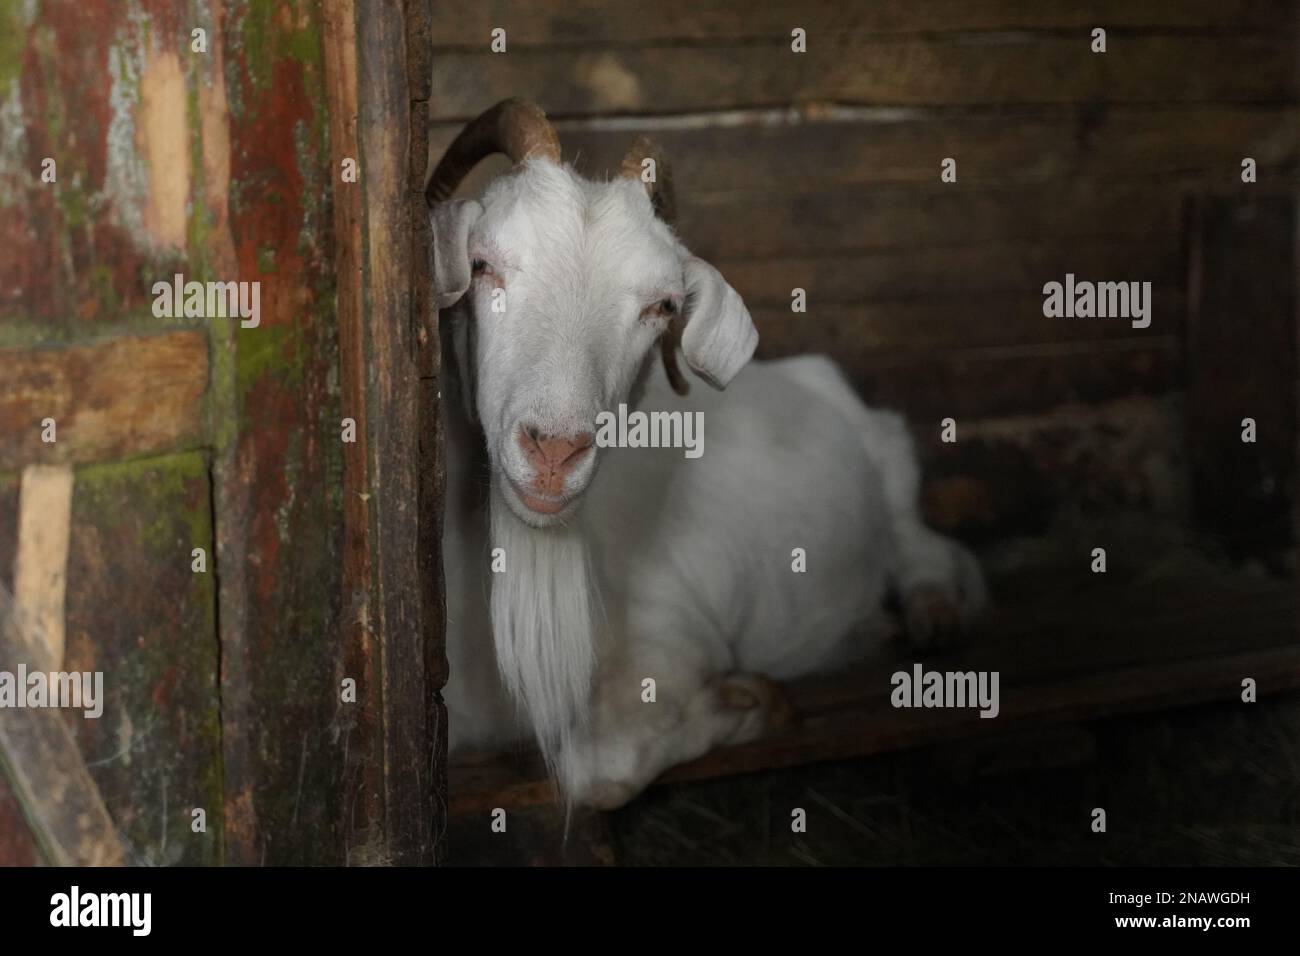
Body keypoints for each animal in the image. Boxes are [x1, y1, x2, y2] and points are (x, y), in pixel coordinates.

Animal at [429, 100, 986, 809]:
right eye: (481, 265)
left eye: (662, 305)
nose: (555, 450)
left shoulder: (669, 634)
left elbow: (596, 768)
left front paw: (757, 701)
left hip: (894, 468)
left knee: (928, 549)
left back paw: (931, 616)